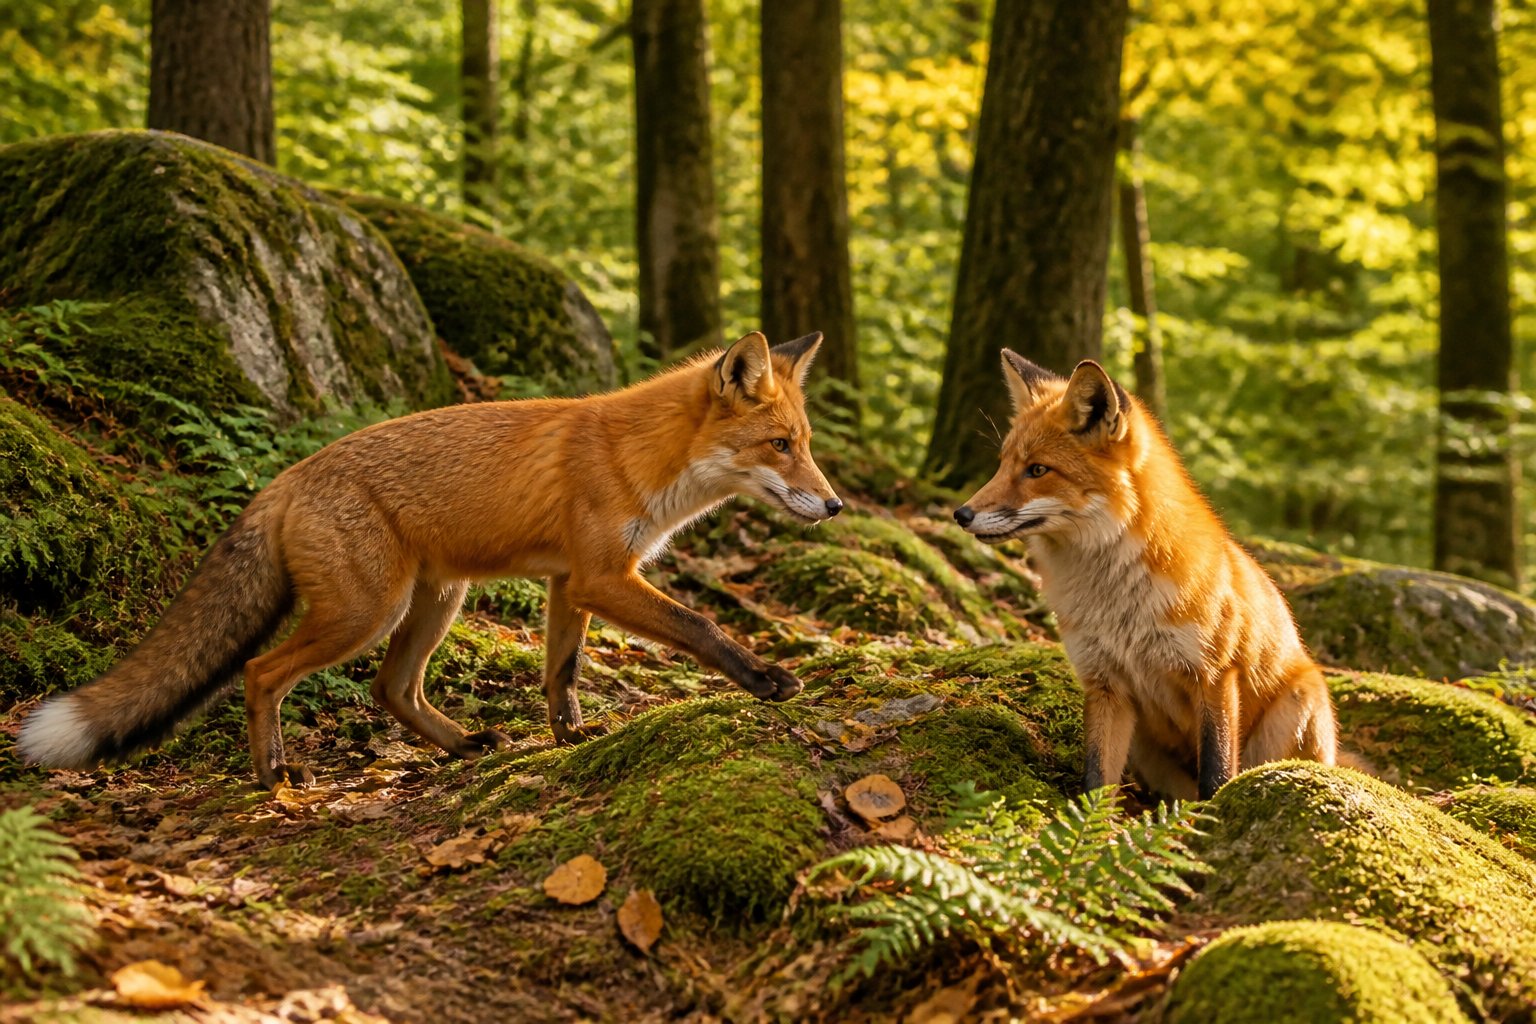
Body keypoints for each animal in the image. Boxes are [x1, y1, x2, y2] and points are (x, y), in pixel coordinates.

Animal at [18, 331, 842, 790]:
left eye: (803, 443)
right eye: (780, 446)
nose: (834, 506)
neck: (641, 457)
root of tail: (286, 477)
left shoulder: (569, 582)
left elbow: (562, 673)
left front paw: (570, 737)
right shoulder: (603, 577)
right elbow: (703, 628)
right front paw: (765, 680)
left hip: (437, 602)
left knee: (390, 689)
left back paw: (462, 744)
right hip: (366, 613)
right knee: (260, 671)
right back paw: (273, 773)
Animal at [953, 351, 1337, 801]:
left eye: (1037, 470)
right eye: (1002, 465)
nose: (960, 514)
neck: (1117, 599)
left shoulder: (1215, 674)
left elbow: (1216, 774)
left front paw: (1209, 816)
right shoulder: (1105, 683)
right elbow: (1096, 779)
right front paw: (1088, 821)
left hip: (1296, 705)